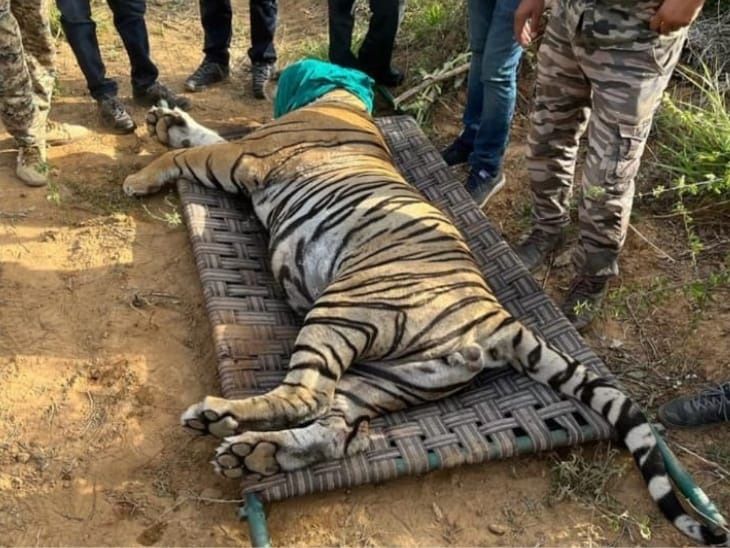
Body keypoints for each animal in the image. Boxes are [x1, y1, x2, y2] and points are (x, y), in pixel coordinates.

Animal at [122, 60, 726, 545]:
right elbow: (200, 134)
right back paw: (252, 452)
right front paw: (167, 121)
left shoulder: (243, 155)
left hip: (343, 311)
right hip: (387, 378)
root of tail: (495, 318)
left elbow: (199, 150)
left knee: (306, 395)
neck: (339, 98)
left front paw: (141, 174)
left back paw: (218, 419)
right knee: (336, 431)